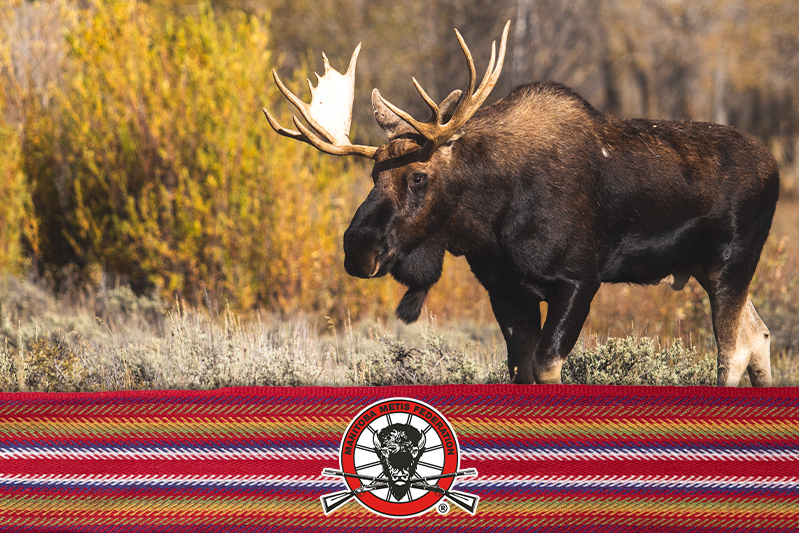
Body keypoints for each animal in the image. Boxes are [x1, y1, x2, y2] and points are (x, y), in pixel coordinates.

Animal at [263, 21, 779, 387]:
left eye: (418, 176)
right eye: (374, 175)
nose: (357, 248)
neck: (488, 224)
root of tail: (774, 168)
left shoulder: (579, 280)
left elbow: (549, 365)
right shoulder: (506, 289)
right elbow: (521, 368)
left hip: (730, 261)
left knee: (731, 350)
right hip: (703, 267)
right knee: (758, 334)